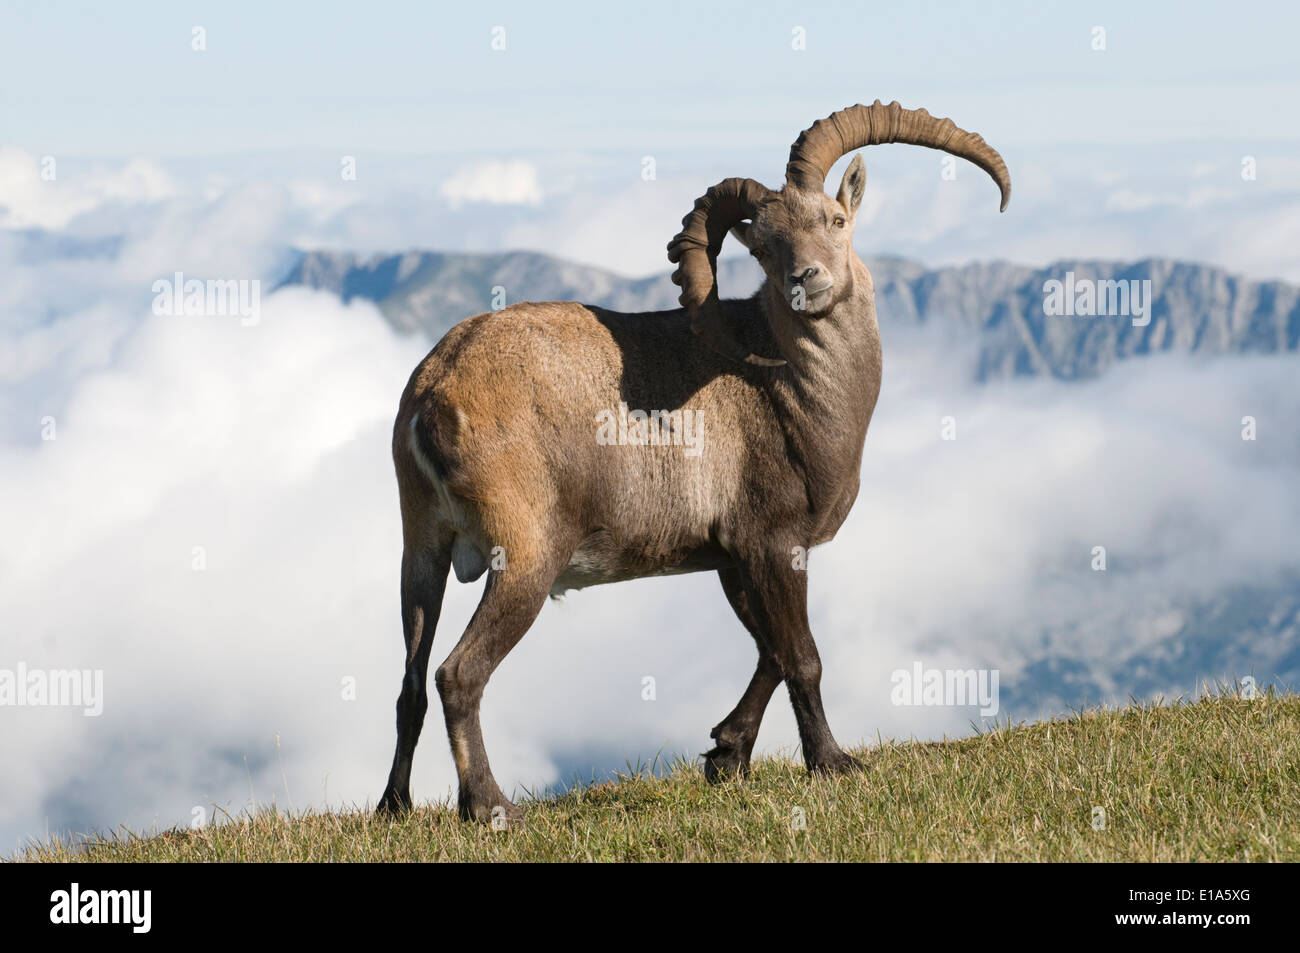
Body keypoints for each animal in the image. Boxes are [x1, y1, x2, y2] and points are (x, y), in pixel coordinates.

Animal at [376, 101, 1010, 821]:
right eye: (764, 246)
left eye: (835, 220)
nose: (807, 280)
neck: (791, 387)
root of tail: (434, 393)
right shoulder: (773, 539)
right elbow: (802, 654)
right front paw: (832, 763)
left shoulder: (732, 555)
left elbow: (770, 648)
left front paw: (727, 752)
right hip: (527, 555)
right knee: (458, 673)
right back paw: (490, 807)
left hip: (422, 548)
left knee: (410, 681)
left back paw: (394, 805)